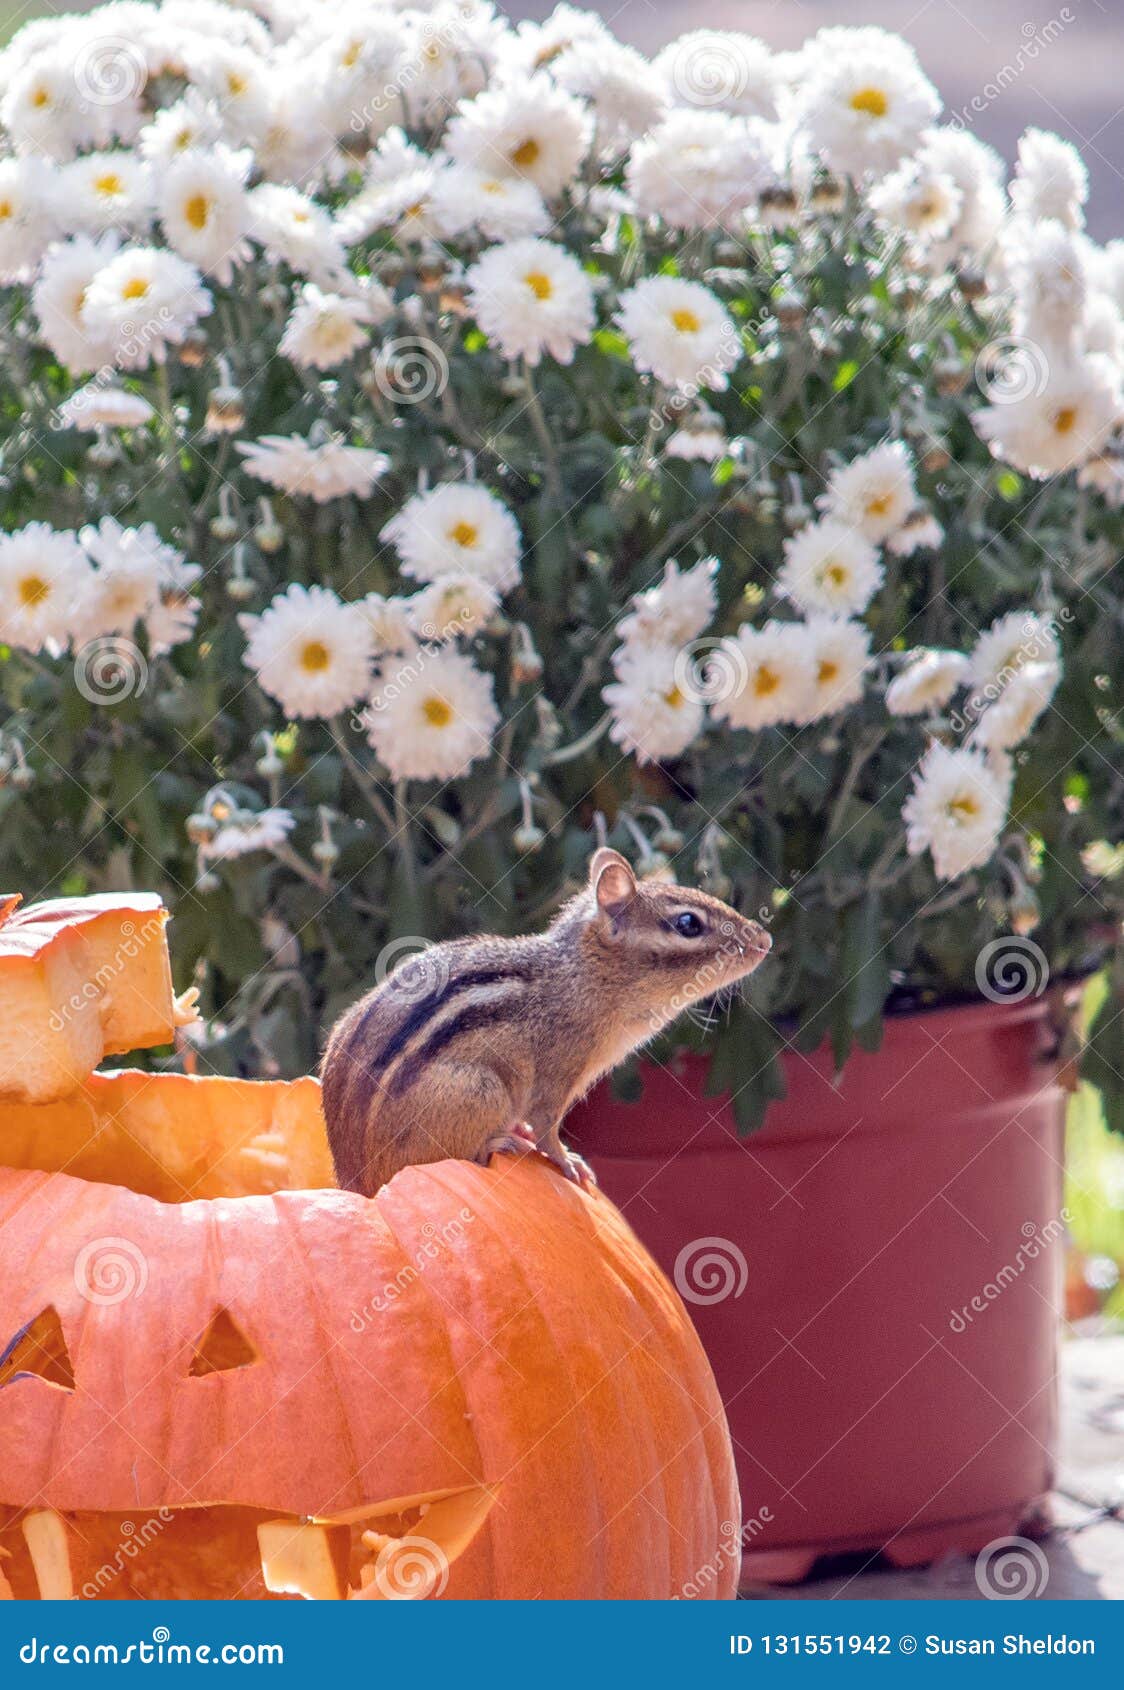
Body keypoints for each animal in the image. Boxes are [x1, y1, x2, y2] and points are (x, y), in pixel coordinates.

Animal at [320, 847, 771, 1195]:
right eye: (688, 923)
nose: (764, 941)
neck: (584, 977)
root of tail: (355, 1178)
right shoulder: (558, 1072)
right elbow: (546, 1125)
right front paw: (567, 1161)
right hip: (480, 1089)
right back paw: (498, 1139)